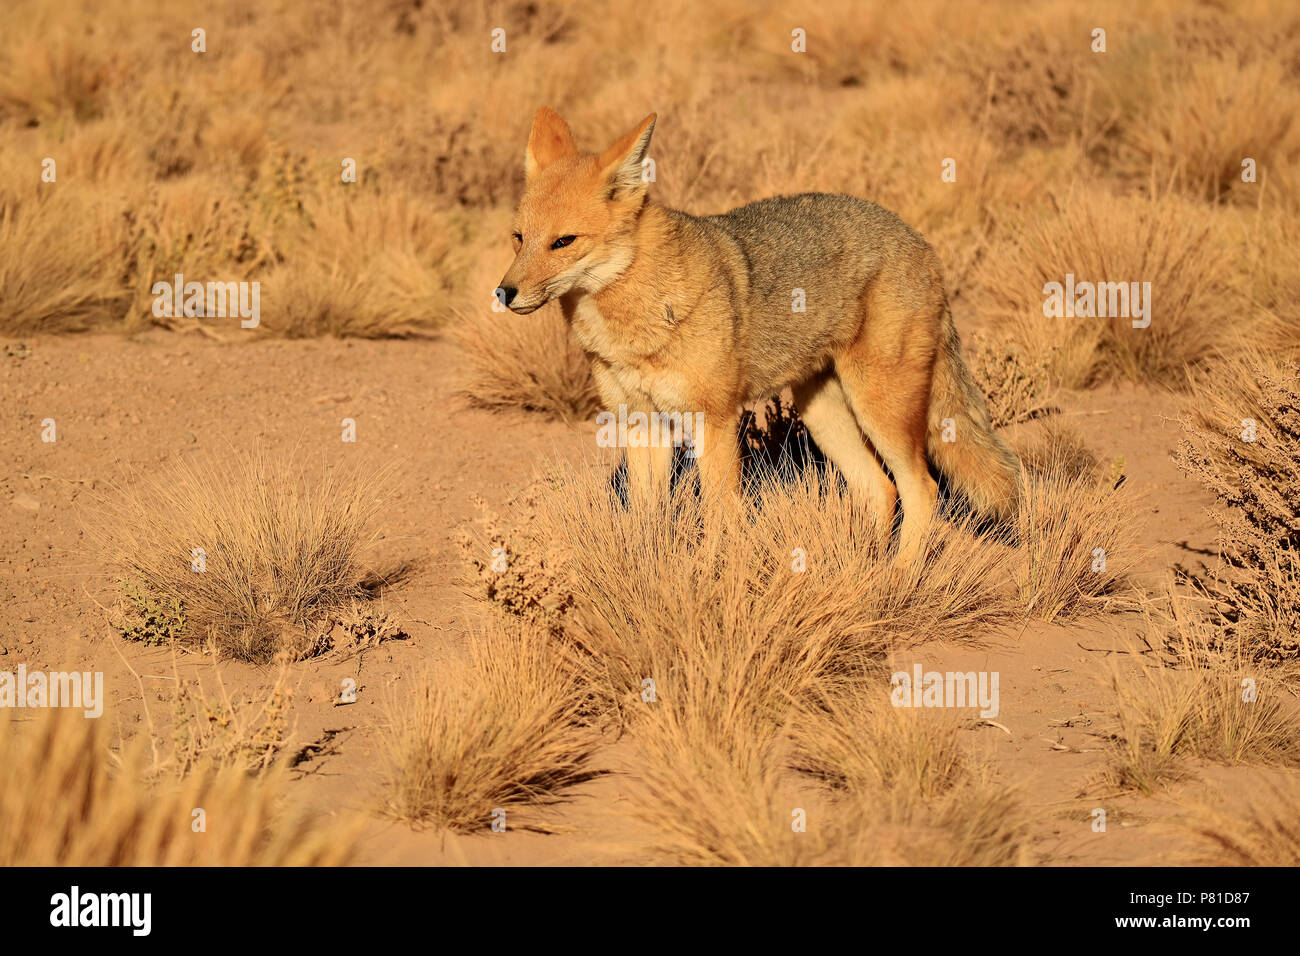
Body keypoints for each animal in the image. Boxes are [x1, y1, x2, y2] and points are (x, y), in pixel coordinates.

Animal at [497, 107, 1021, 562]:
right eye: (519, 238)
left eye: (563, 242)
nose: (503, 293)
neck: (632, 320)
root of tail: (921, 243)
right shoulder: (642, 422)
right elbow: (647, 519)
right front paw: (647, 573)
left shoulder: (714, 421)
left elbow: (719, 517)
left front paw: (711, 578)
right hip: (824, 414)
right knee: (882, 488)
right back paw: (862, 572)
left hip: (880, 410)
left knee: (922, 489)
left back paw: (898, 579)